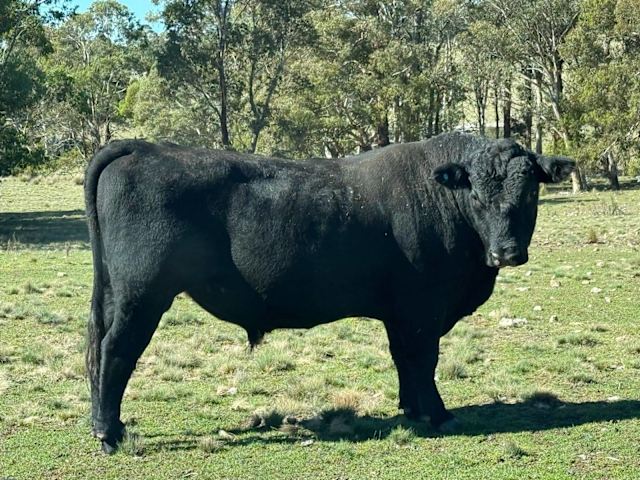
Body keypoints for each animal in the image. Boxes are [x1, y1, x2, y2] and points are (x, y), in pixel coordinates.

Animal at [85, 132, 574, 453]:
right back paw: (110, 434)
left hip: (114, 295)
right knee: (116, 352)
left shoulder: (399, 313)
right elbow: (424, 360)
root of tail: (142, 146)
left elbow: (404, 359)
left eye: (530, 193)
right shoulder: (422, 309)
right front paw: (438, 414)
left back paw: (104, 425)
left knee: (96, 351)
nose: (507, 252)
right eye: (477, 195)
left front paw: (412, 409)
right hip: (142, 296)